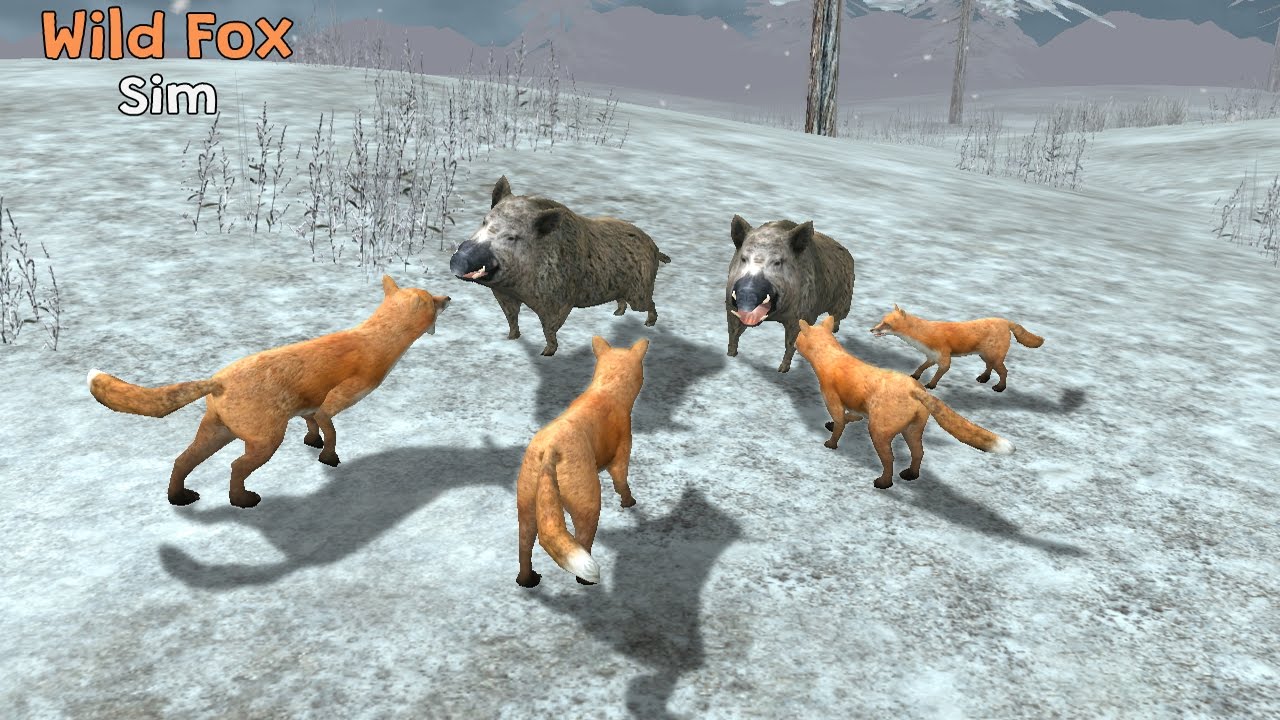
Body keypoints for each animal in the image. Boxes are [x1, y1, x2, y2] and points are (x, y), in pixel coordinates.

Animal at [87, 275, 451, 508]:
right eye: (433, 300)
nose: (450, 297)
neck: (375, 339)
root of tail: (219, 379)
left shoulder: (307, 406)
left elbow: (313, 426)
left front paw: (312, 442)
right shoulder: (334, 400)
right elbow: (330, 431)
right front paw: (329, 458)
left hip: (217, 433)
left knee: (182, 460)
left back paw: (178, 497)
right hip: (265, 441)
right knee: (235, 466)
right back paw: (241, 501)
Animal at [515, 336, 649, 588]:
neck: (608, 388)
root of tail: (550, 449)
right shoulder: (620, 458)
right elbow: (622, 484)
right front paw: (629, 503)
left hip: (527, 506)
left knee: (524, 546)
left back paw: (526, 580)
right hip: (588, 504)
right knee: (583, 541)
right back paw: (585, 581)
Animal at [795, 316, 1014, 489]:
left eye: (797, 336)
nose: (792, 342)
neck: (830, 356)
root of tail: (915, 389)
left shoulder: (832, 399)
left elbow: (840, 423)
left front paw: (831, 443)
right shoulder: (855, 406)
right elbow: (848, 417)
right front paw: (834, 424)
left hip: (879, 432)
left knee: (889, 459)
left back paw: (884, 483)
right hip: (912, 429)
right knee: (919, 452)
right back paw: (911, 474)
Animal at [869, 304, 1044, 392]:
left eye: (886, 324)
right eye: (881, 321)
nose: (871, 330)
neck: (925, 335)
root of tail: (1005, 321)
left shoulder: (945, 359)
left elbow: (938, 374)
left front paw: (931, 385)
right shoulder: (932, 356)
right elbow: (922, 367)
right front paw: (915, 376)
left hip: (994, 357)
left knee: (1004, 371)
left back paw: (1000, 388)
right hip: (985, 356)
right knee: (990, 367)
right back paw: (984, 378)